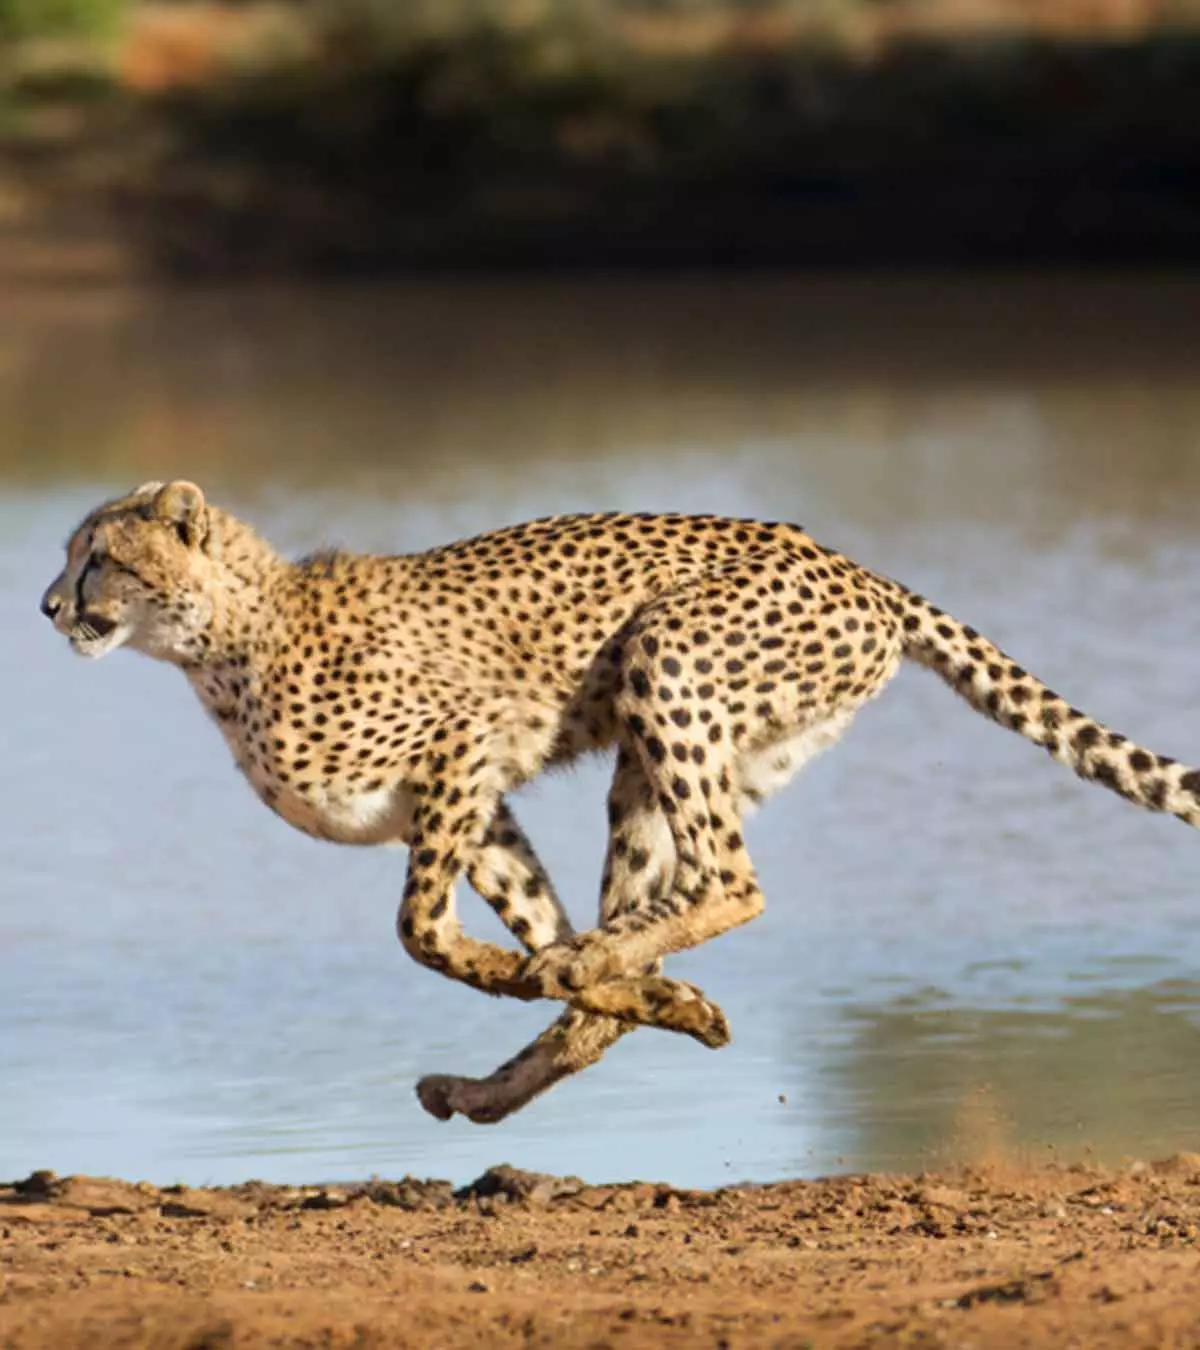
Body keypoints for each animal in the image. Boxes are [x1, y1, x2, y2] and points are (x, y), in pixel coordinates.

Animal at [41, 481, 1200, 1125]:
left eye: (99, 556)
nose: (48, 605)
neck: (220, 643)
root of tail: (851, 564)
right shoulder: (470, 797)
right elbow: (527, 924)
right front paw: (639, 998)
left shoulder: (464, 742)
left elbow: (421, 929)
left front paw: (537, 973)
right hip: (675, 755)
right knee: (665, 897)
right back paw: (536, 1047)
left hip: (664, 653)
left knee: (732, 880)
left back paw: (589, 972)